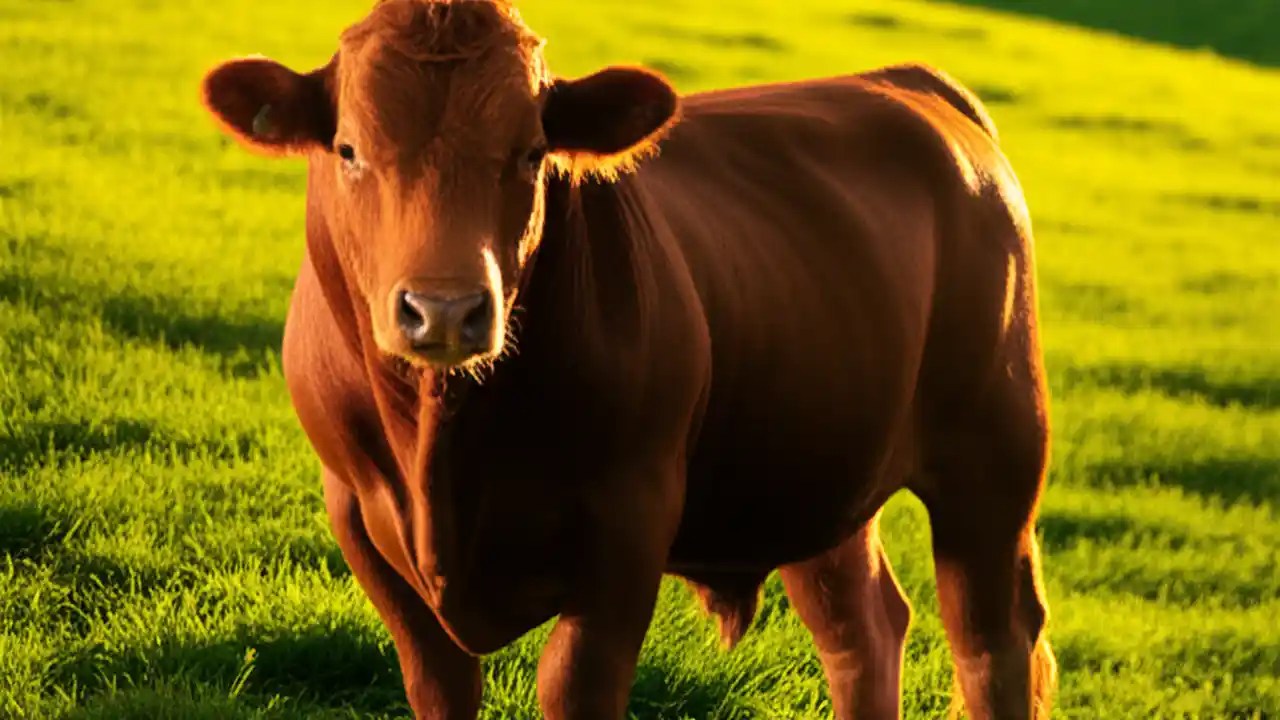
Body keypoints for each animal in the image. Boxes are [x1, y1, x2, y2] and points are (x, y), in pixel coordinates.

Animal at [198, 0, 1056, 717]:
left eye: (532, 152)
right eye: (349, 148)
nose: (445, 308)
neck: (440, 446)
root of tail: (903, 83)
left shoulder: (629, 520)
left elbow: (573, 684)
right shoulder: (357, 512)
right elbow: (439, 683)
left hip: (996, 451)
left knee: (992, 639)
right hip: (818, 464)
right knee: (861, 623)